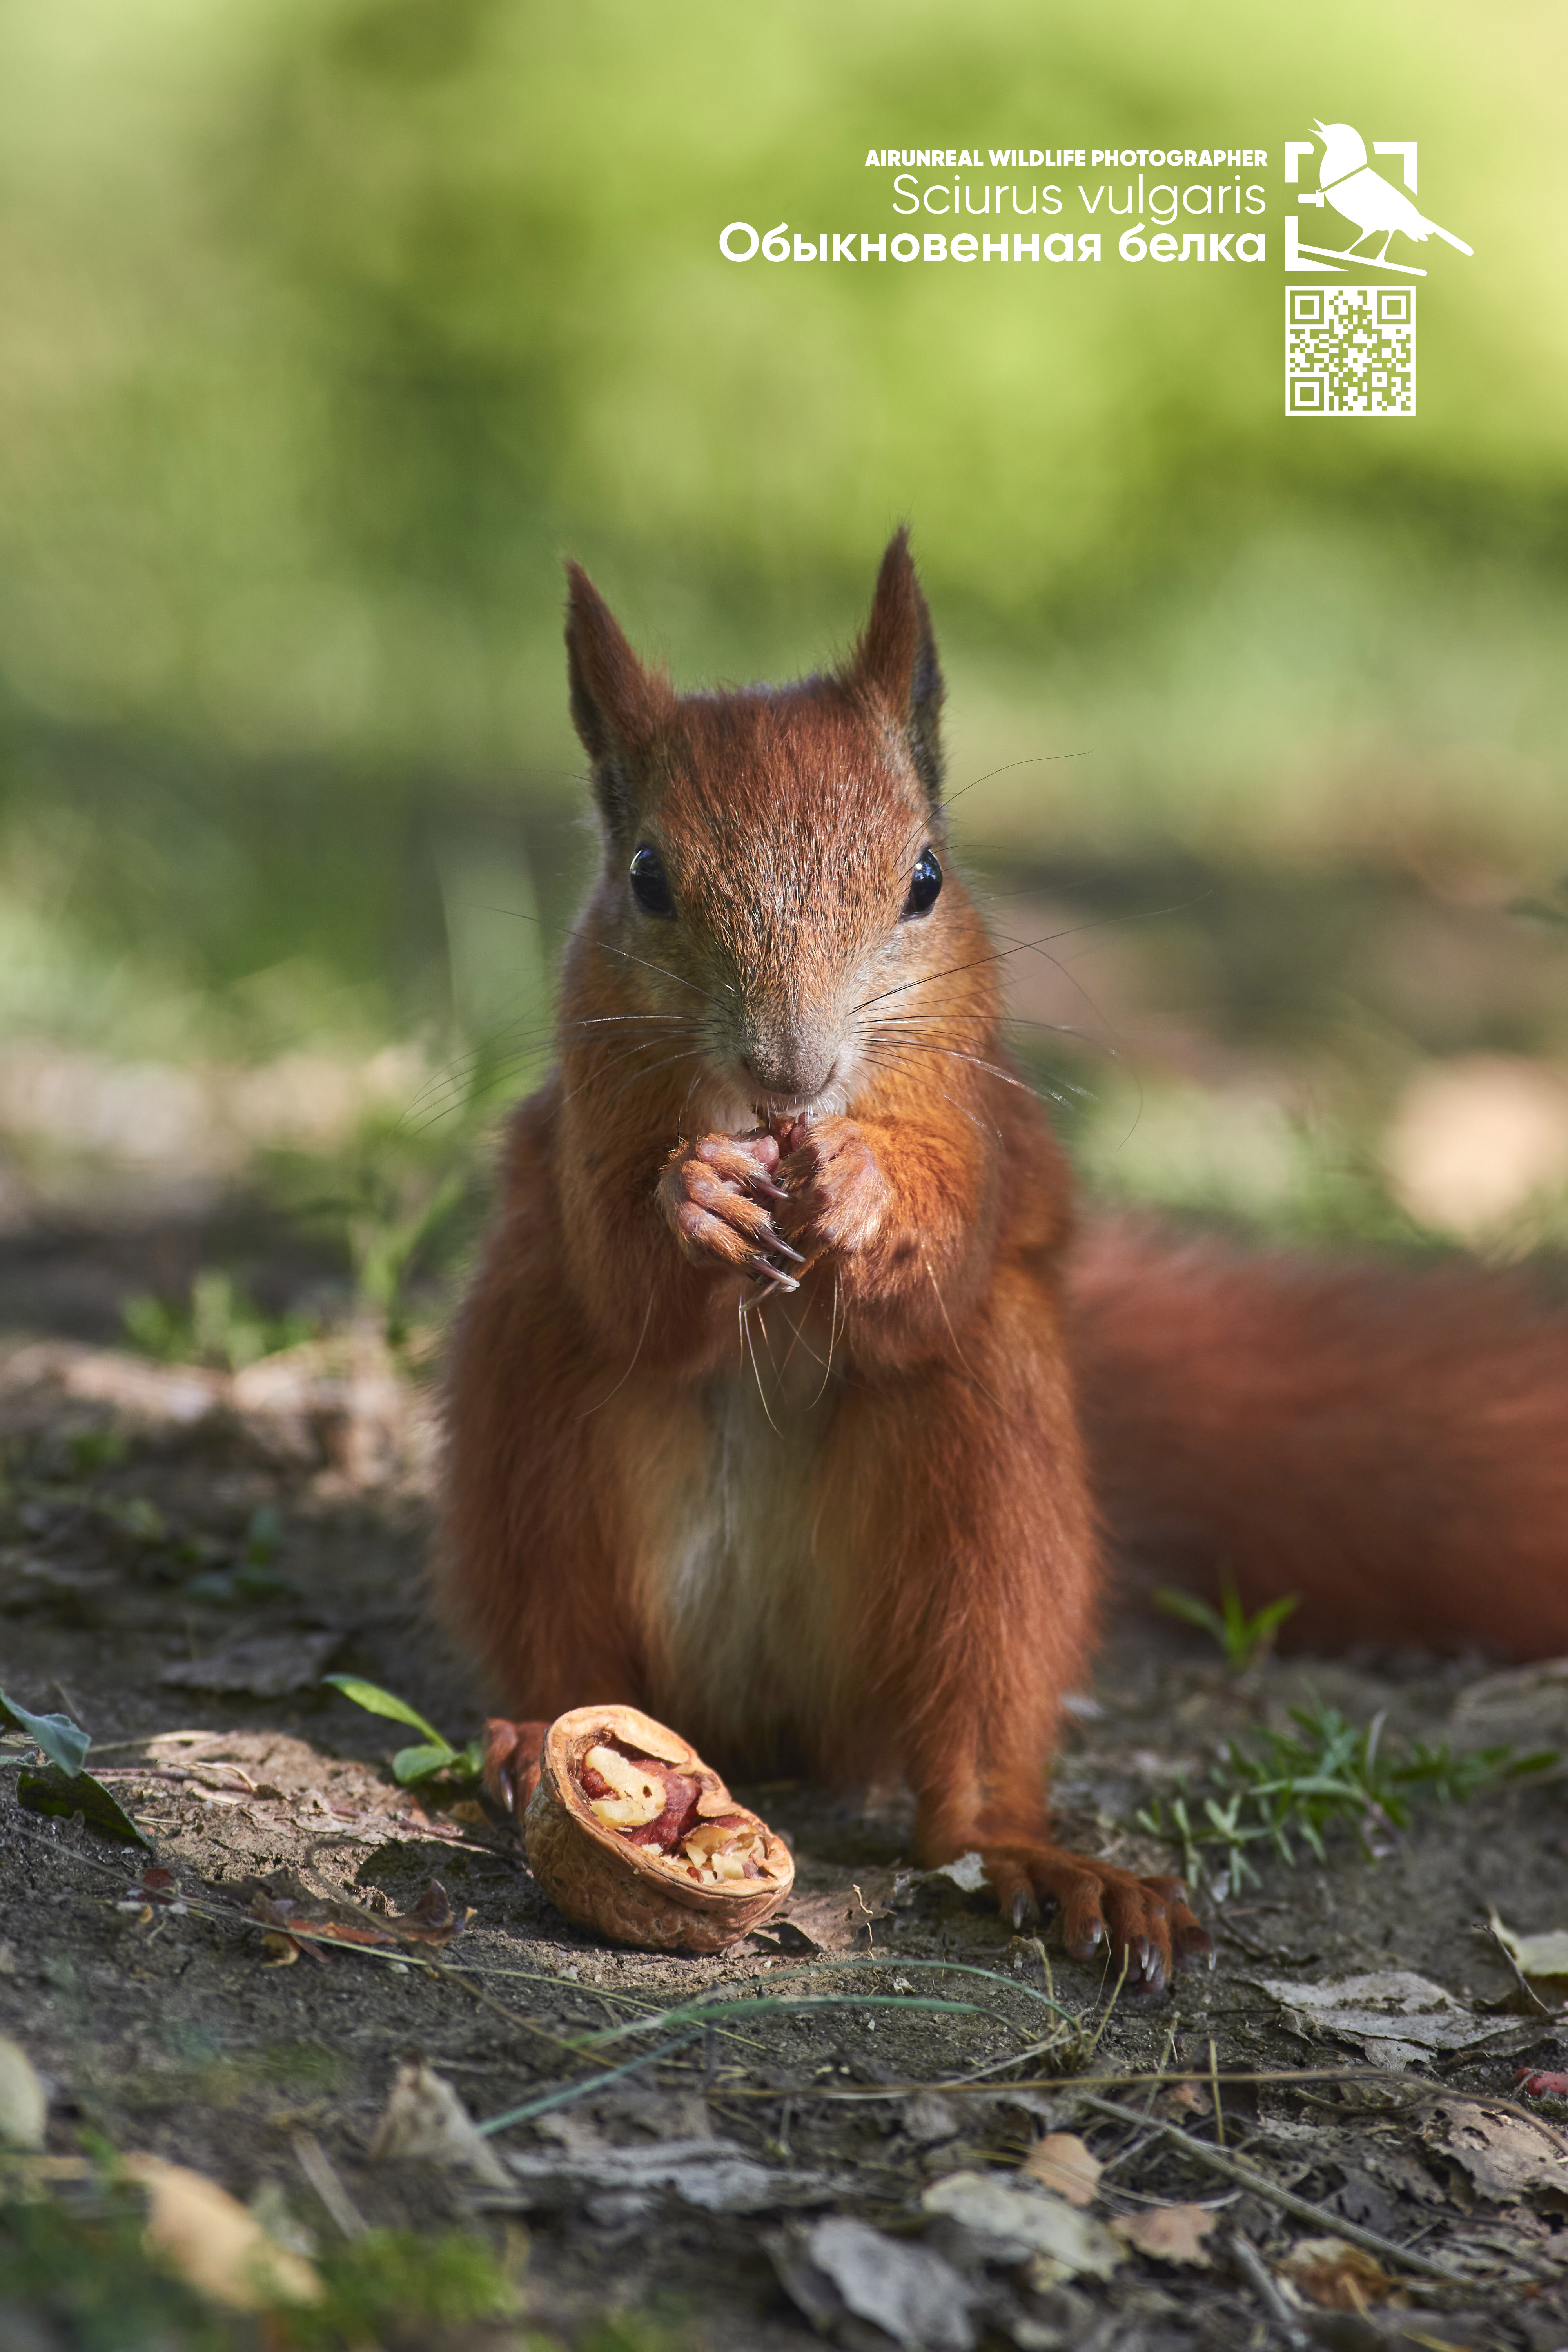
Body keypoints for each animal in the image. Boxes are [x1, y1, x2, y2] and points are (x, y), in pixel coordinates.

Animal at [439, 529, 1568, 1985]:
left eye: (924, 880)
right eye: (646, 876)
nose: (790, 1071)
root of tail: (764, 1711)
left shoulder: (982, 1131)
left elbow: (937, 1266)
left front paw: (865, 1192)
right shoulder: (590, 1113)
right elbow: (628, 1280)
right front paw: (697, 1196)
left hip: (999, 1465)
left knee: (966, 1748)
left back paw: (1033, 1854)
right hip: (532, 1410)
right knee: (565, 1596)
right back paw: (540, 1737)